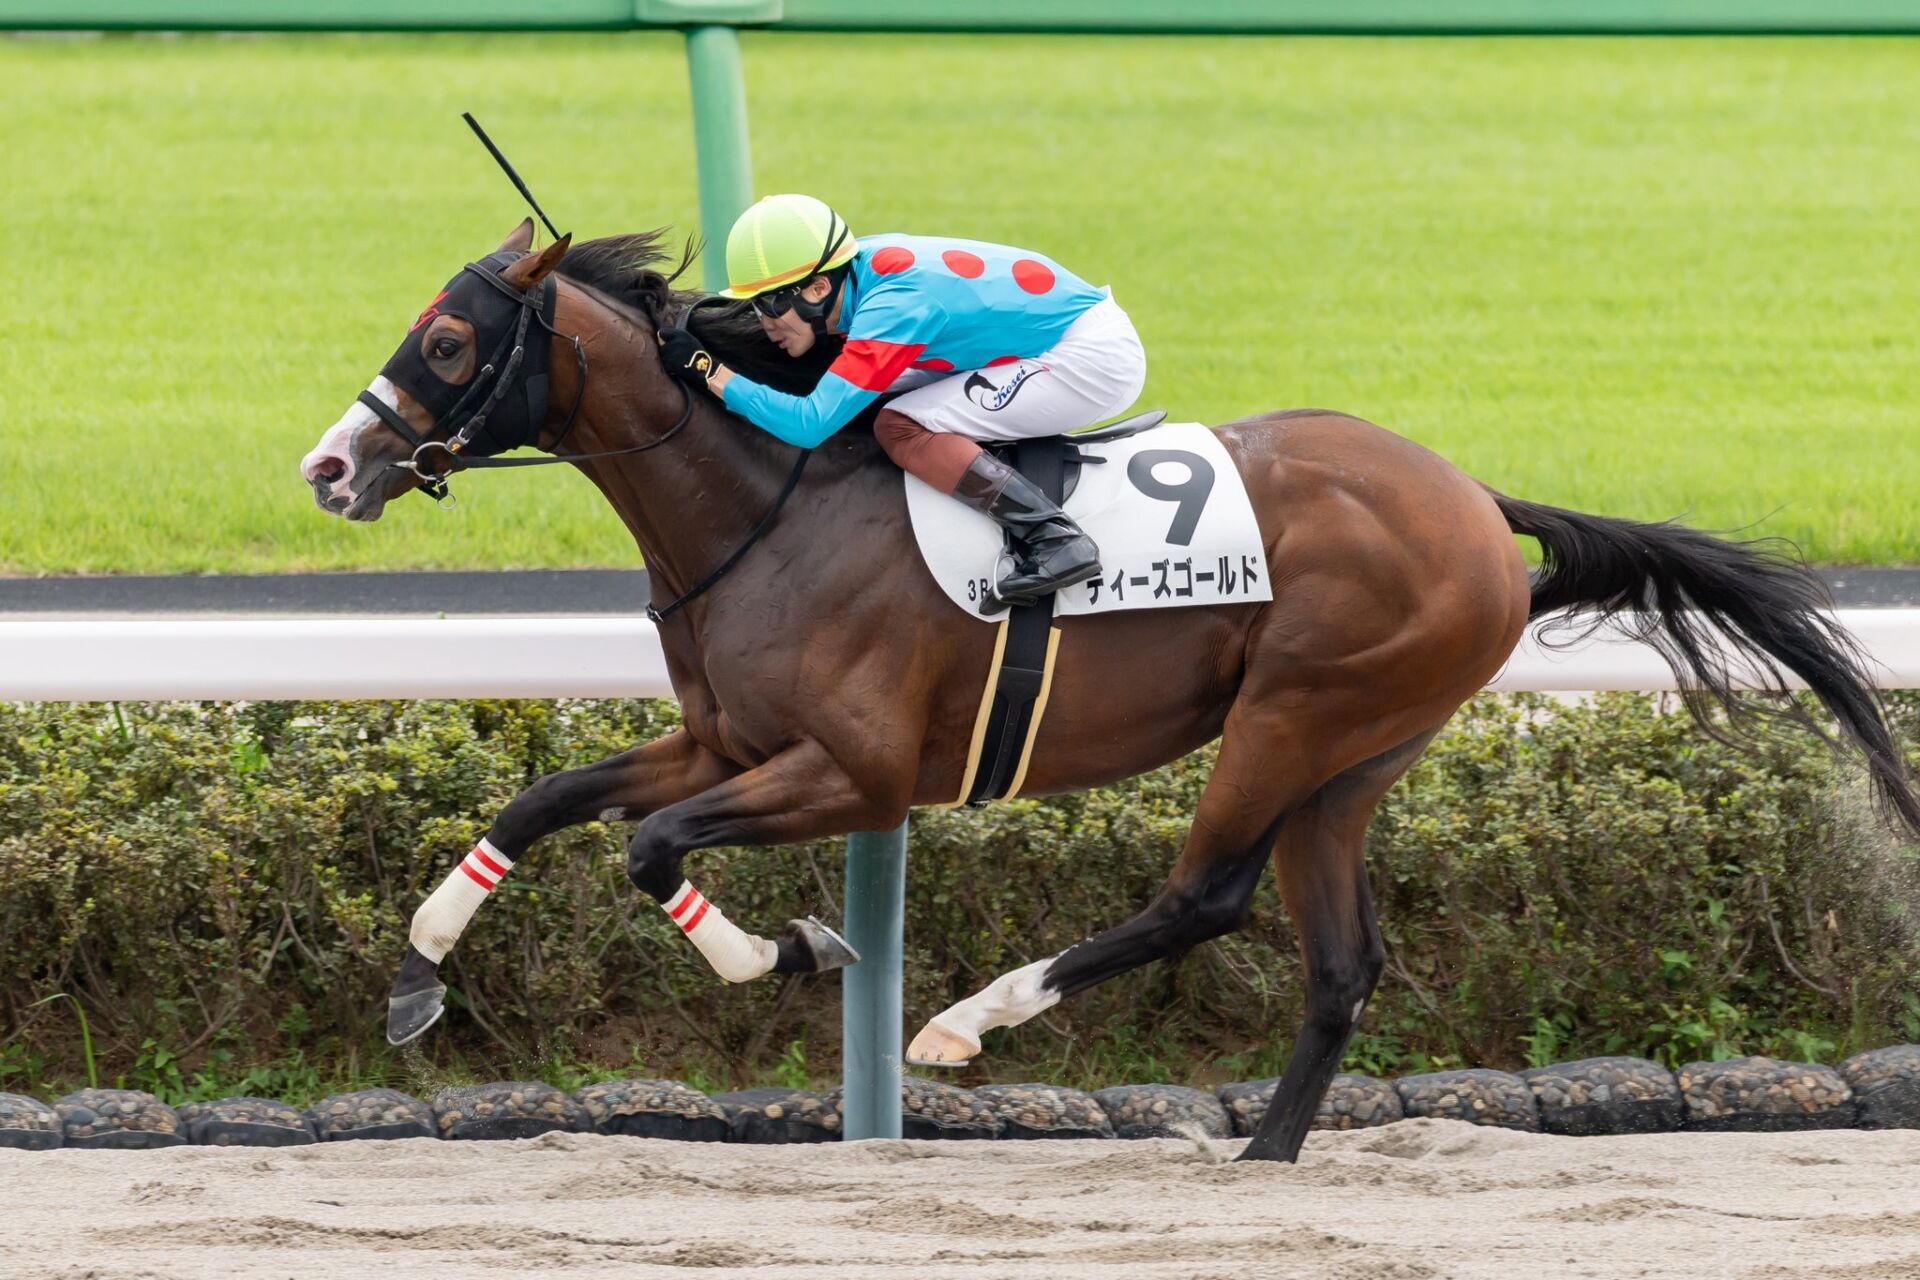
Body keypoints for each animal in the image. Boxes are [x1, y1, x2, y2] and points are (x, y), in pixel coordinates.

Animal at [300, 220, 1920, 1162]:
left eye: (448, 340)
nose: (330, 464)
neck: (766, 508)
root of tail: (1474, 499)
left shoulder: (857, 769)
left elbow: (647, 848)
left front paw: (797, 952)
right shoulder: (723, 737)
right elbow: (549, 797)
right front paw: (418, 974)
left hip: (1297, 712)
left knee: (1206, 895)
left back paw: (965, 1024)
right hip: (1360, 753)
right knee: (1342, 964)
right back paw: (1262, 1162)